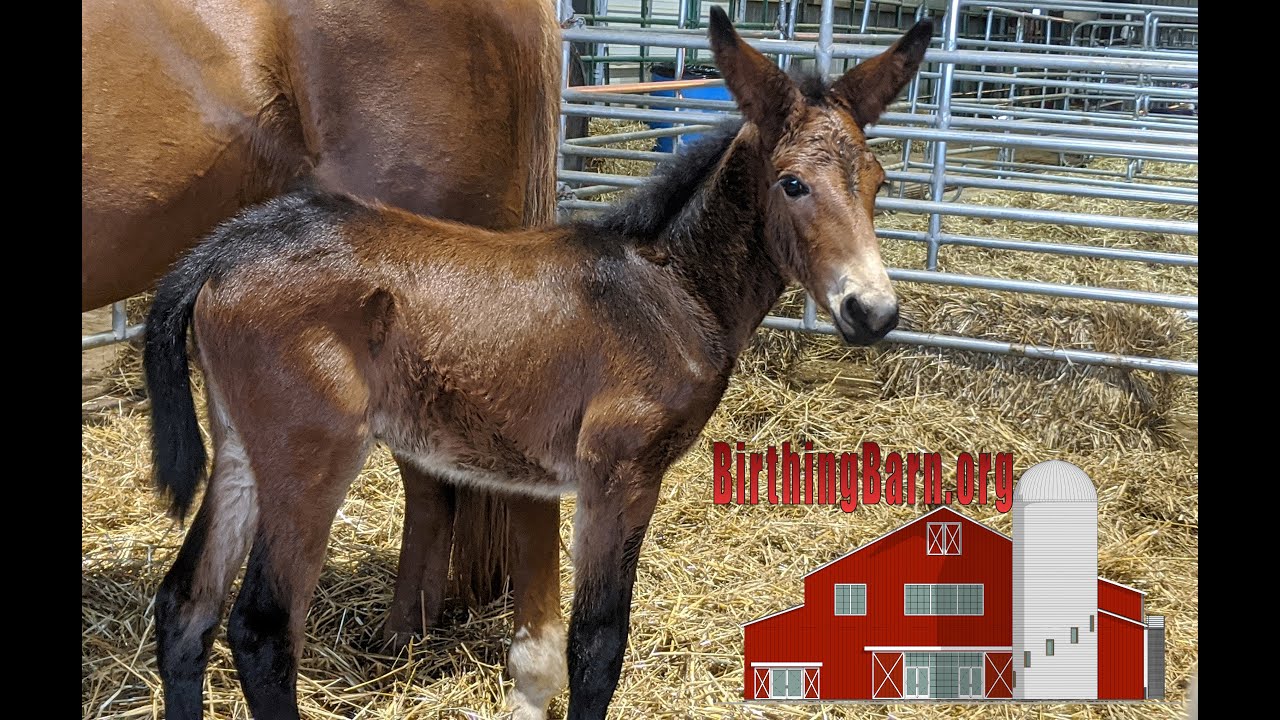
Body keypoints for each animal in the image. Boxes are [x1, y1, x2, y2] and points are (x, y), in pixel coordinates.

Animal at [141, 8, 932, 719]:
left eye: (878, 182)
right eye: (793, 184)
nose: (872, 311)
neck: (667, 287)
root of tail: (226, 247)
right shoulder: (619, 475)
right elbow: (597, 644)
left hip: (242, 447)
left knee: (186, 606)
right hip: (311, 457)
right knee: (261, 630)